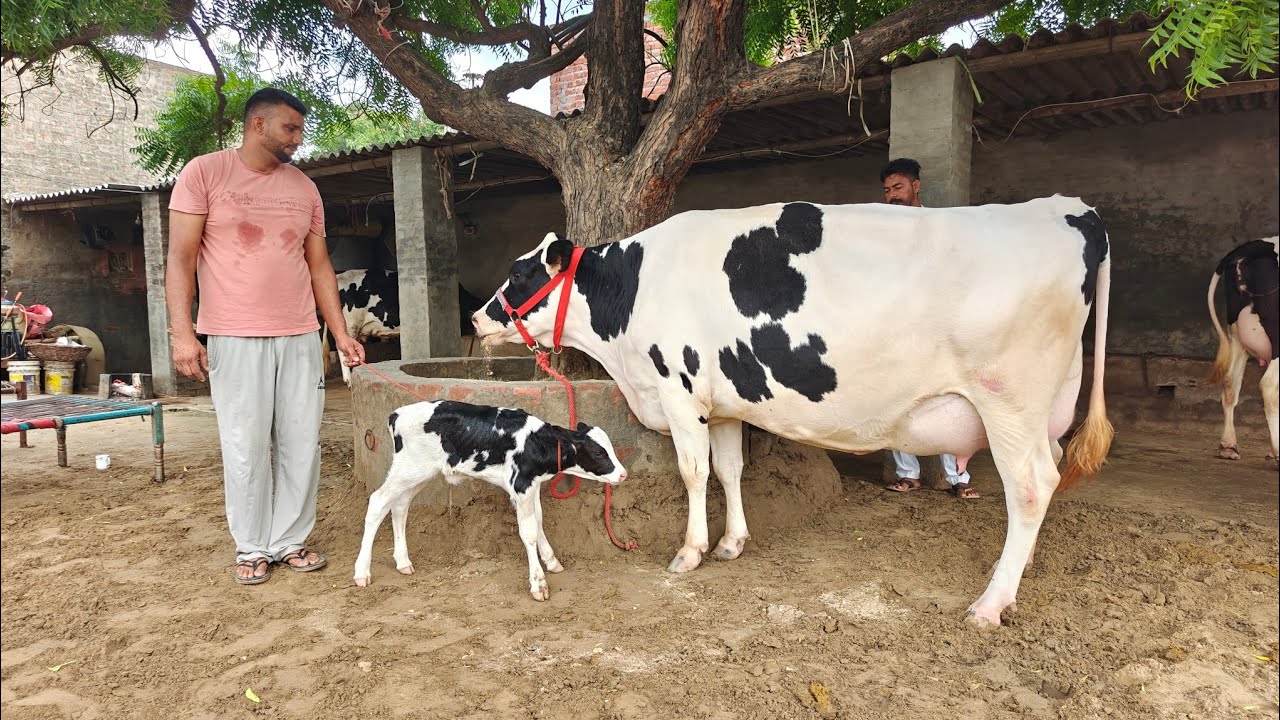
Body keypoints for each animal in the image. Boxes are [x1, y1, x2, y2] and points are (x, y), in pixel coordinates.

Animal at [352, 400, 627, 600]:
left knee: (400, 505)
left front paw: (551, 561)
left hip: (419, 473)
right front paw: (538, 584)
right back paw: (362, 572)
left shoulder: (531, 486)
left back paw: (403, 562)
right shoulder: (521, 485)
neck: (537, 442)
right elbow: (528, 532)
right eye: (599, 452)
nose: (623, 474)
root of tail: (397, 414)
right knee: (378, 502)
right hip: (409, 470)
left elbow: (538, 521)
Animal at [471, 196, 1115, 626]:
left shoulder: (679, 393)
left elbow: (692, 473)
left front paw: (689, 552)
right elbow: (729, 469)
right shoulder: (722, 404)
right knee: (1046, 476)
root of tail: (1071, 209)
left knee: (1030, 486)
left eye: (520, 272)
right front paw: (732, 543)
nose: (478, 318)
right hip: (1042, 409)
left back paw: (990, 603)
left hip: (1009, 400)